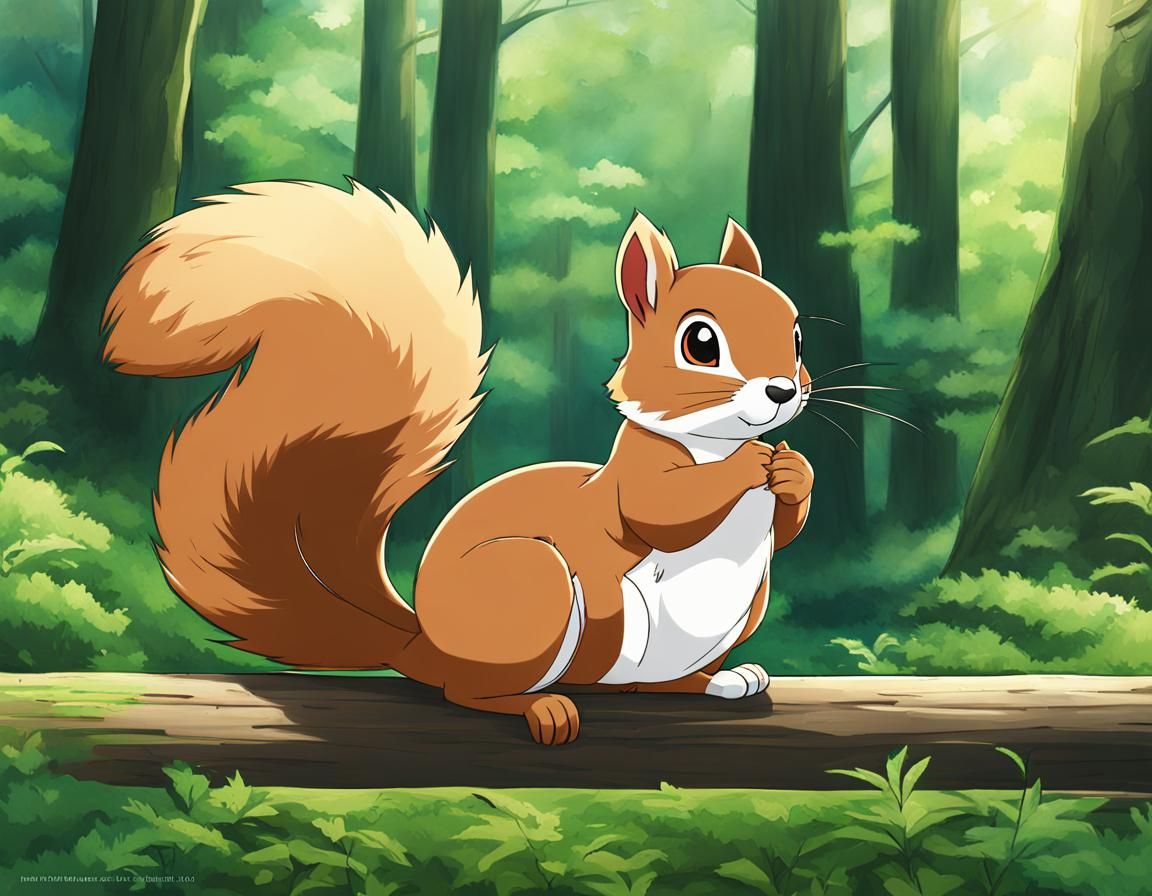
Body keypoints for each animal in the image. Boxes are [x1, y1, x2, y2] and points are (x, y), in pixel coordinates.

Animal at [102, 180, 814, 745]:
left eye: (798, 333)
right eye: (700, 343)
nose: (784, 391)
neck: (712, 441)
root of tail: (425, 645)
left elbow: (783, 530)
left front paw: (793, 471)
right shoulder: (633, 479)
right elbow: (663, 511)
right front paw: (754, 465)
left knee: (655, 685)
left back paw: (723, 680)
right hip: (533, 585)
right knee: (466, 693)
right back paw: (541, 708)